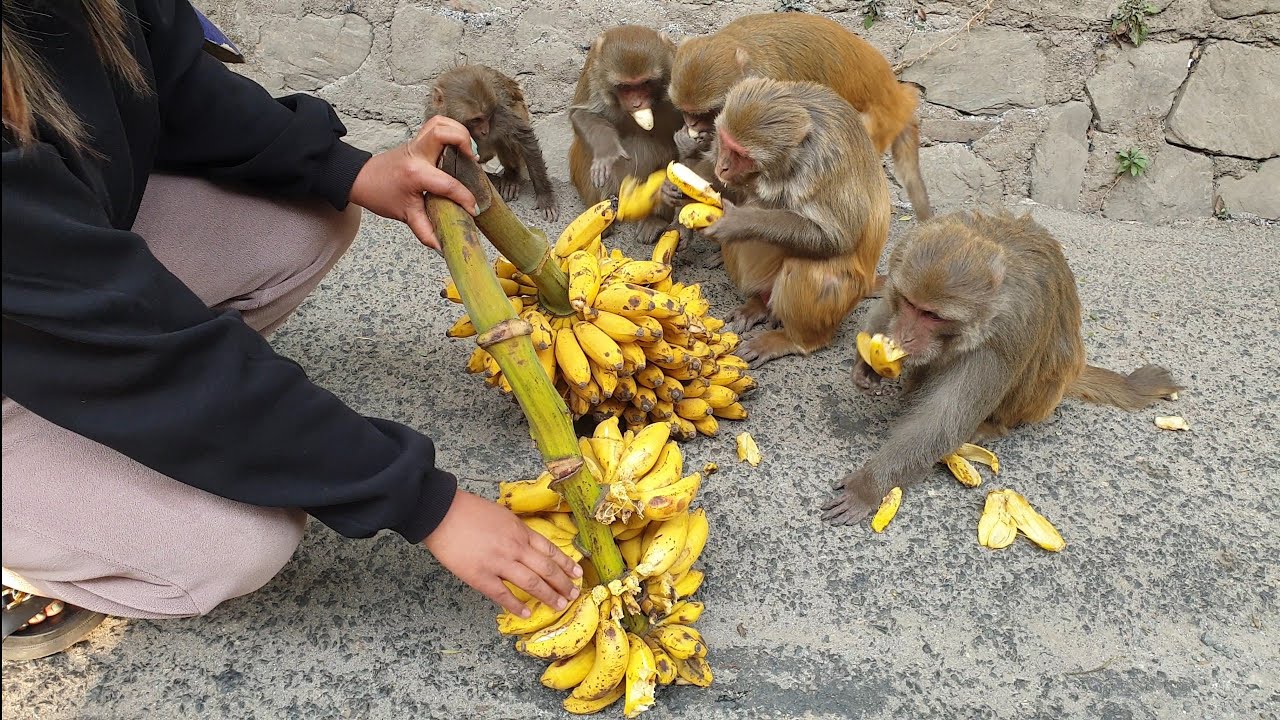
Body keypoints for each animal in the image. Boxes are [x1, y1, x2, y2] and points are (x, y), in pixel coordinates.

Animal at [431, 64, 559, 221]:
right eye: (476, 120)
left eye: (487, 116)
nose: (485, 130)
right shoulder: (435, 117)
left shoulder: (499, 113)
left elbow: (525, 139)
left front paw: (545, 195)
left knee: (504, 138)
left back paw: (512, 176)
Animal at [568, 25, 684, 242]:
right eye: (625, 87)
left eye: (645, 83)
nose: (637, 103)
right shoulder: (593, 75)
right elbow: (581, 114)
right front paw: (607, 152)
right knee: (586, 150)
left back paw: (656, 216)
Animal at [699, 77, 890, 367]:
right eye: (724, 141)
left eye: (741, 154)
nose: (723, 166)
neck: (790, 162)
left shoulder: (823, 164)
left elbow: (836, 238)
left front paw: (739, 222)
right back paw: (758, 303)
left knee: (807, 268)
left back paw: (794, 340)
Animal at [822, 210, 1184, 525]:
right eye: (911, 304)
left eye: (933, 316)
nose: (906, 336)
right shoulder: (903, 257)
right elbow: (886, 304)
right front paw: (866, 366)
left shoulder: (1009, 331)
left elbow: (944, 421)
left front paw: (869, 486)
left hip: (1039, 396)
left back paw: (991, 426)